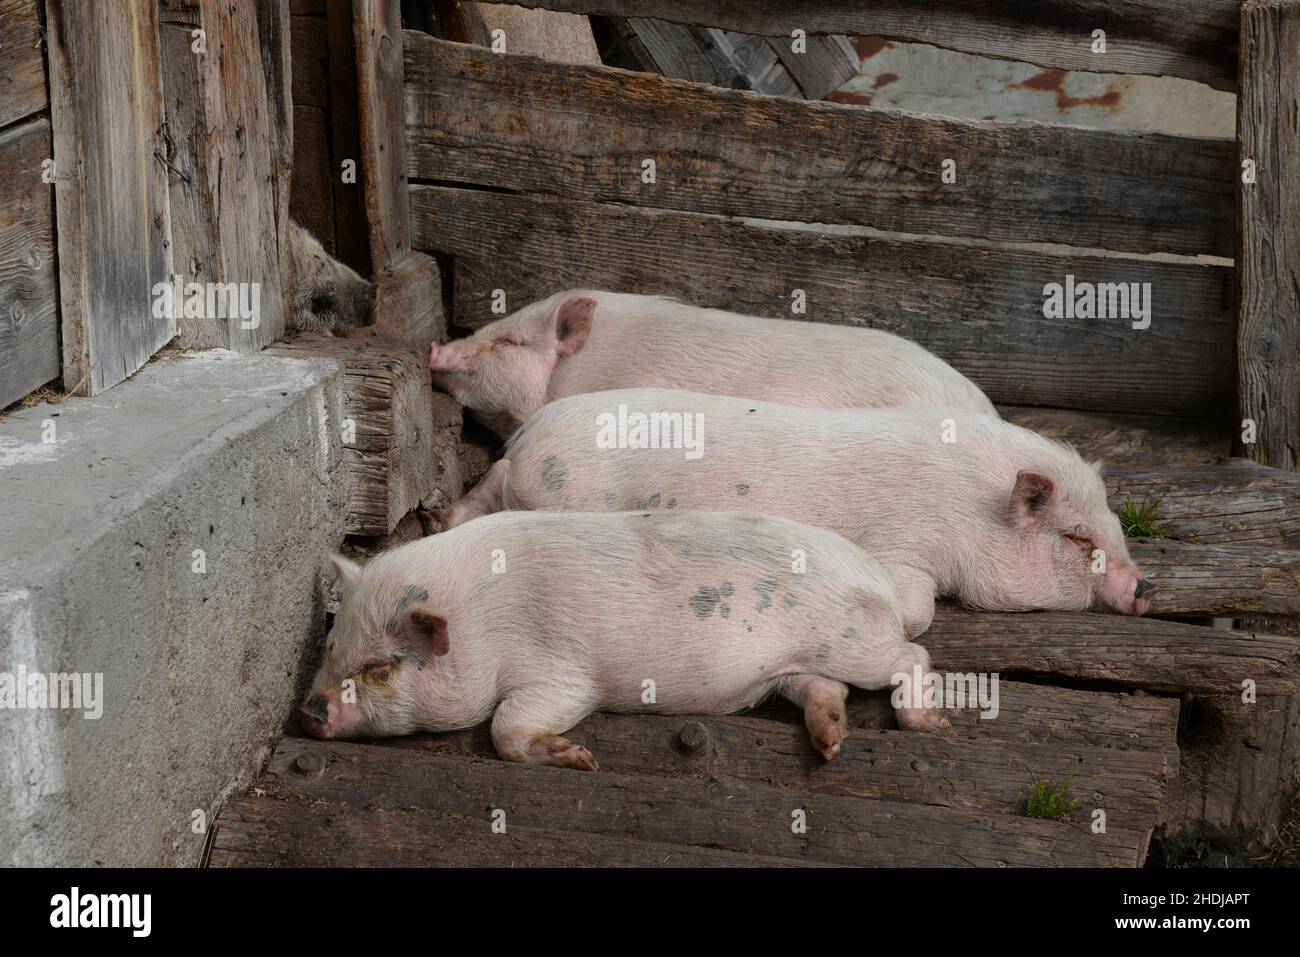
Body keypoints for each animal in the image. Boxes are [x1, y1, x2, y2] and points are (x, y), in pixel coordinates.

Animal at [299, 510, 952, 767]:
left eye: (383, 667)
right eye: (330, 647)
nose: (308, 713)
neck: (479, 623)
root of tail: (876, 576)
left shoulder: (561, 673)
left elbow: (505, 726)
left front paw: (581, 760)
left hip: (851, 639)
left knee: (910, 654)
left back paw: (931, 726)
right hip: (787, 668)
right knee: (823, 690)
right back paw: (829, 745)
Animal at [431, 389, 1155, 636]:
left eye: (1115, 523)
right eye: (1076, 535)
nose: (1144, 586)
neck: (972, 512)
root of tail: (533, 437)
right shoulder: (902, 547)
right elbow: (917, 609)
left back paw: (441, 521)